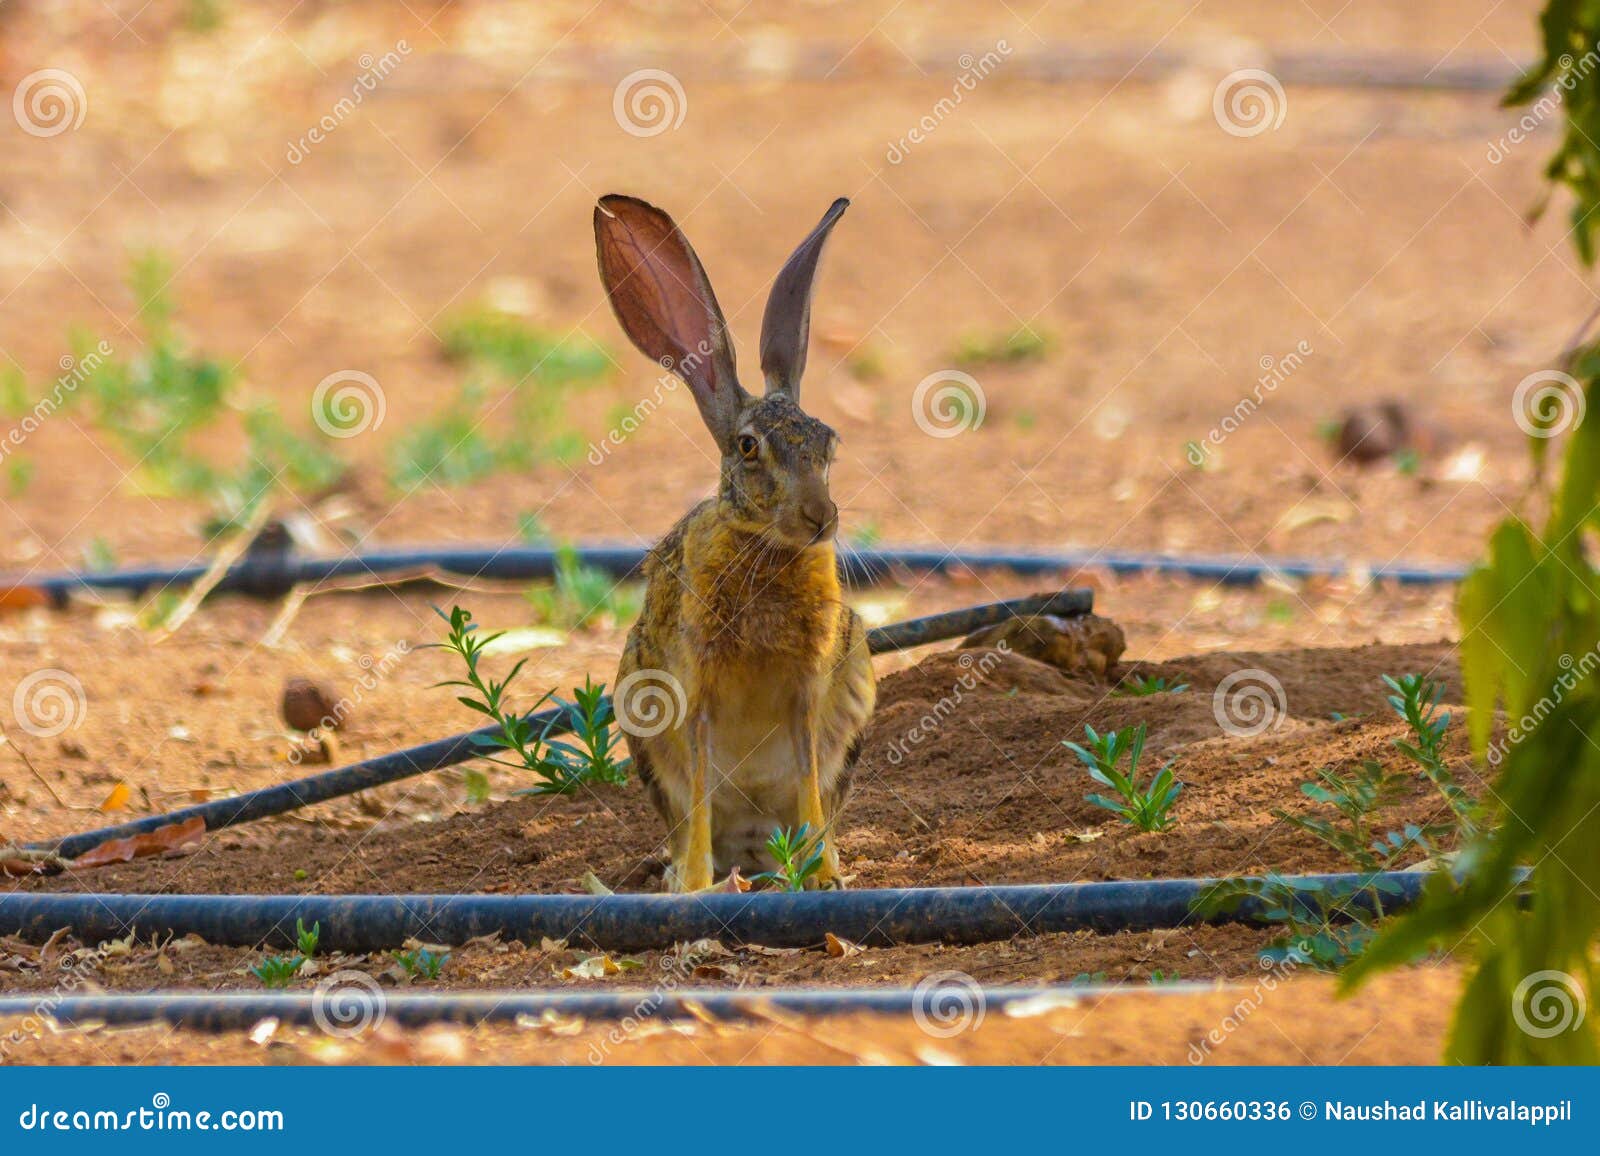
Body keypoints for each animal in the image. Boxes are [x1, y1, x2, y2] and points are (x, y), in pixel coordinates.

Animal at [594, 194, 875, 892]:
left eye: (828, 442)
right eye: (749, 448)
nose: (821, 519)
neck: (763, 545)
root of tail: (751, 838)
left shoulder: (808, 696)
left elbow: (809, 782)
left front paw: (822, 877)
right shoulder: (693, 697)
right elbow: (697, 789)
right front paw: (694, 886)